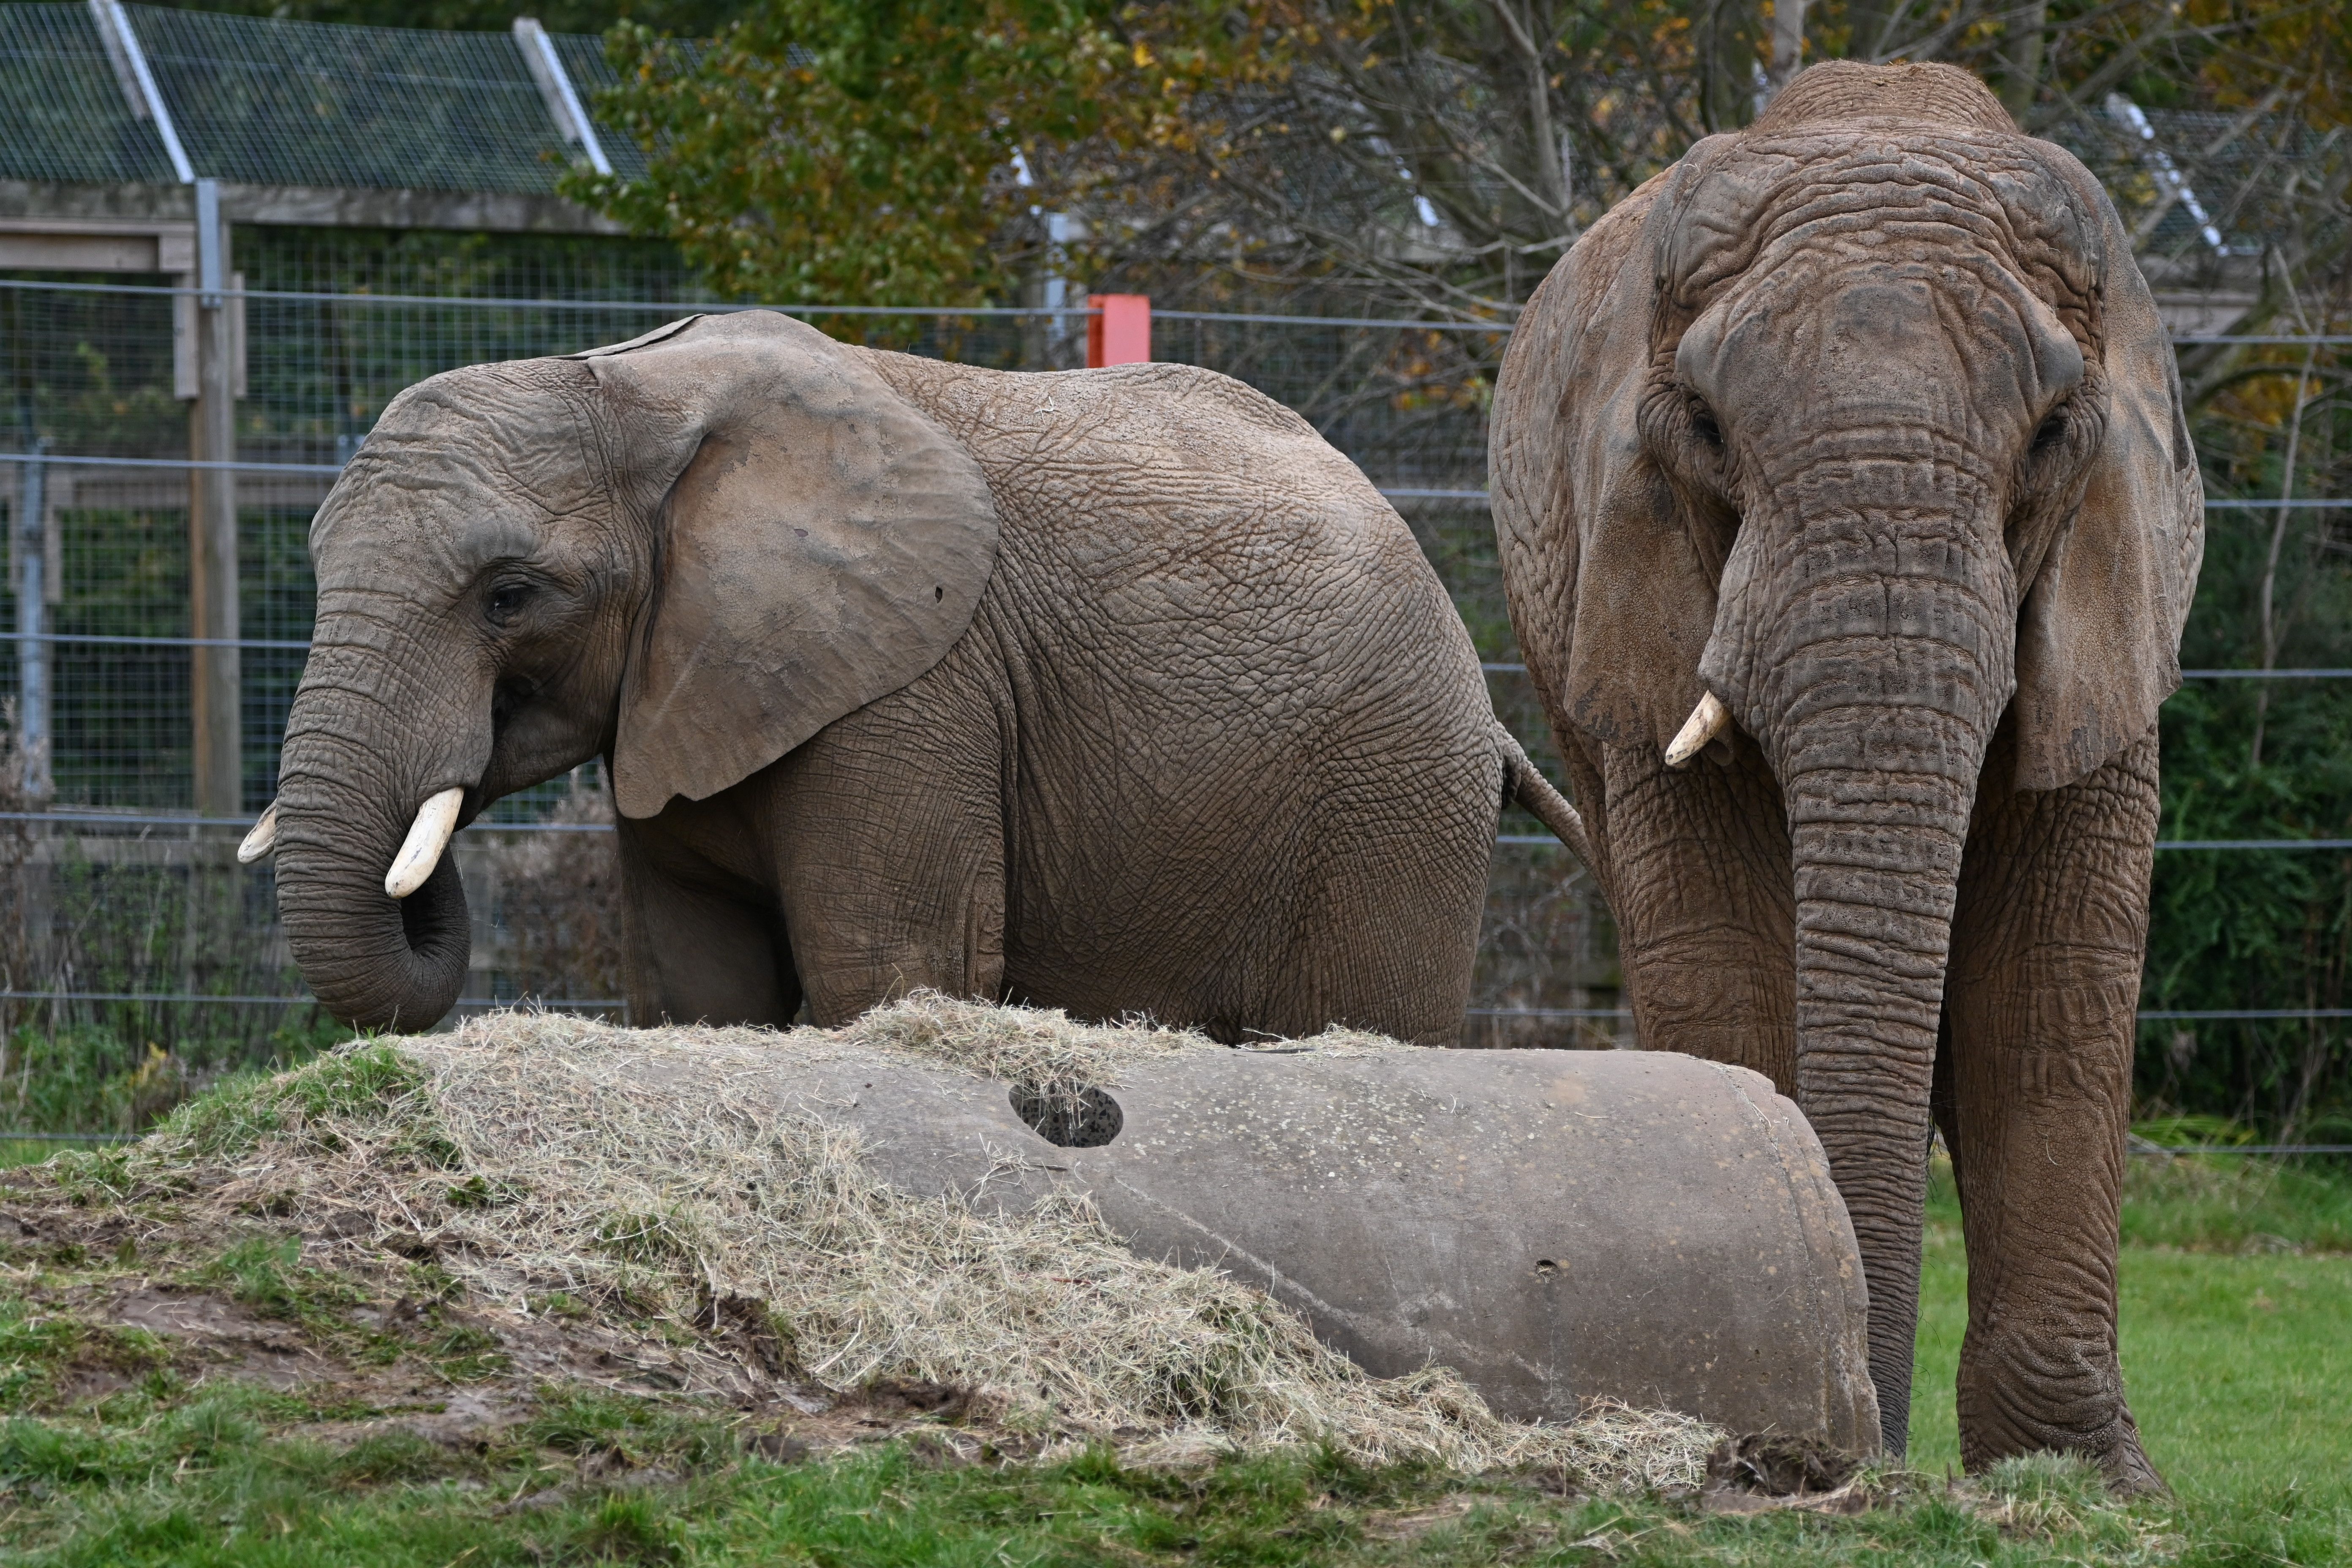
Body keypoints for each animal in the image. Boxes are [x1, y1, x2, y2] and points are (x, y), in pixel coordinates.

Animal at [258, 309, 1569, 1047]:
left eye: (509, 595)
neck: (632, 386)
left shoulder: (915, 690)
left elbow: (887, 970)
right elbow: (697, 982)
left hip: (1394, 793)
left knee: (1365, 1023)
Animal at [1489, 61, 2201, 1489]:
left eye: (2052, 436)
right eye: (1705, 431)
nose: (1863, 1457)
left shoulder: (2115, 588)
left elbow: (2045, 977)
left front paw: (2085, 1483)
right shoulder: (1636, 580)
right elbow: (1727, 949)